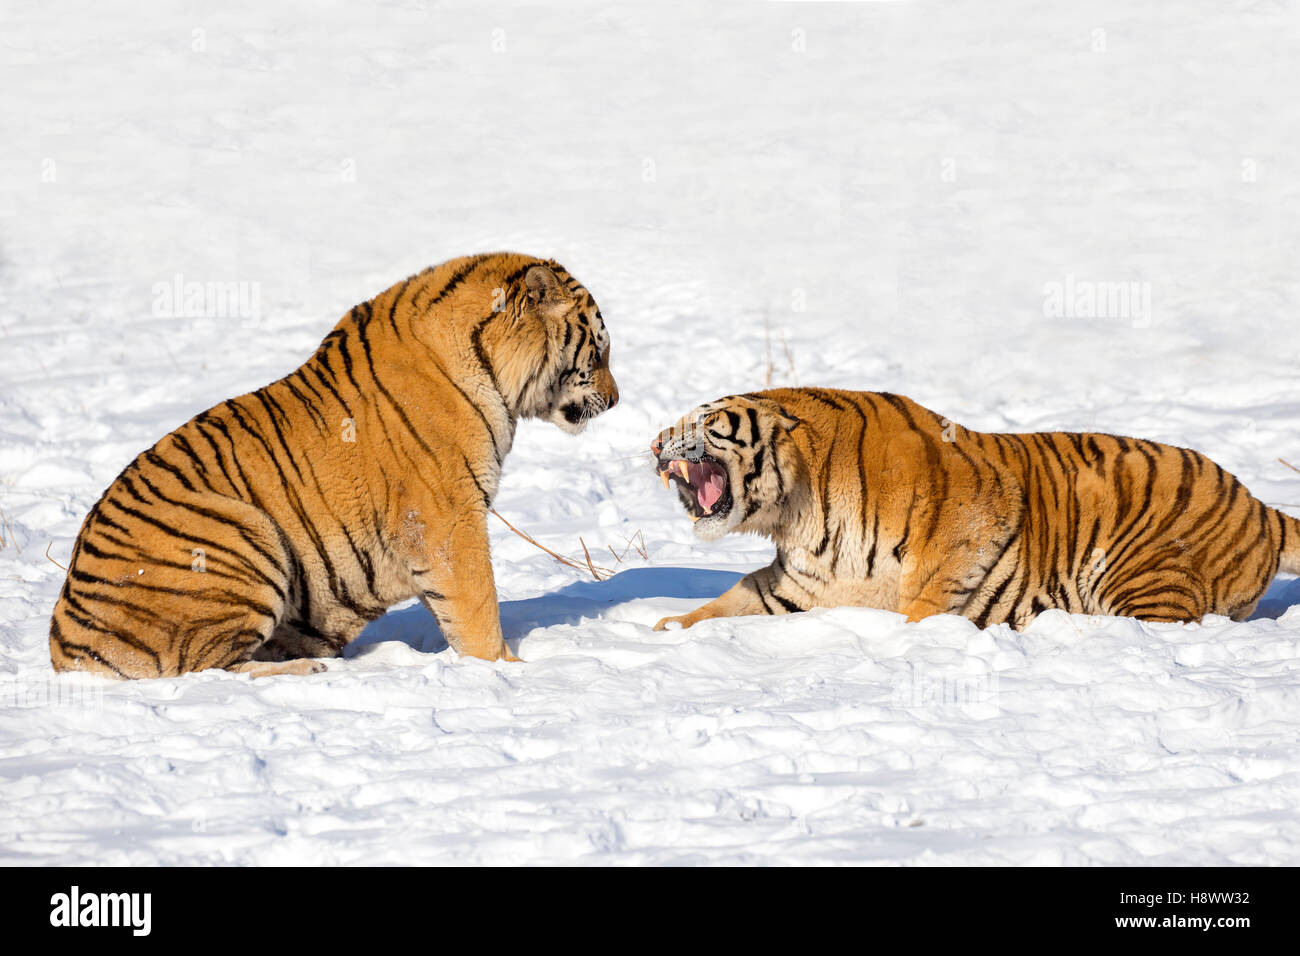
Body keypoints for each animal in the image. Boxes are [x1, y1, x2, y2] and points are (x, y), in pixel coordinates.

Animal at [50, 252, 619, 679]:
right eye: (599, 350)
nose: (615, 401)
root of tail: (63, 644)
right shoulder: (448, 516)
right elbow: (477, 607)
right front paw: (509, 672)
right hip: (244, 534)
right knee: (203, 667)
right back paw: (309, 670)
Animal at [650, 387, 1300, 632]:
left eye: (705, 421)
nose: (655, 445)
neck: (796, 512)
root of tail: (1261, 505)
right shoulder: (796, 586)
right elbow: (727, 603)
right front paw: (665, 629)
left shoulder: (972, 512)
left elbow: (927, 598)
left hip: (1144, 572)